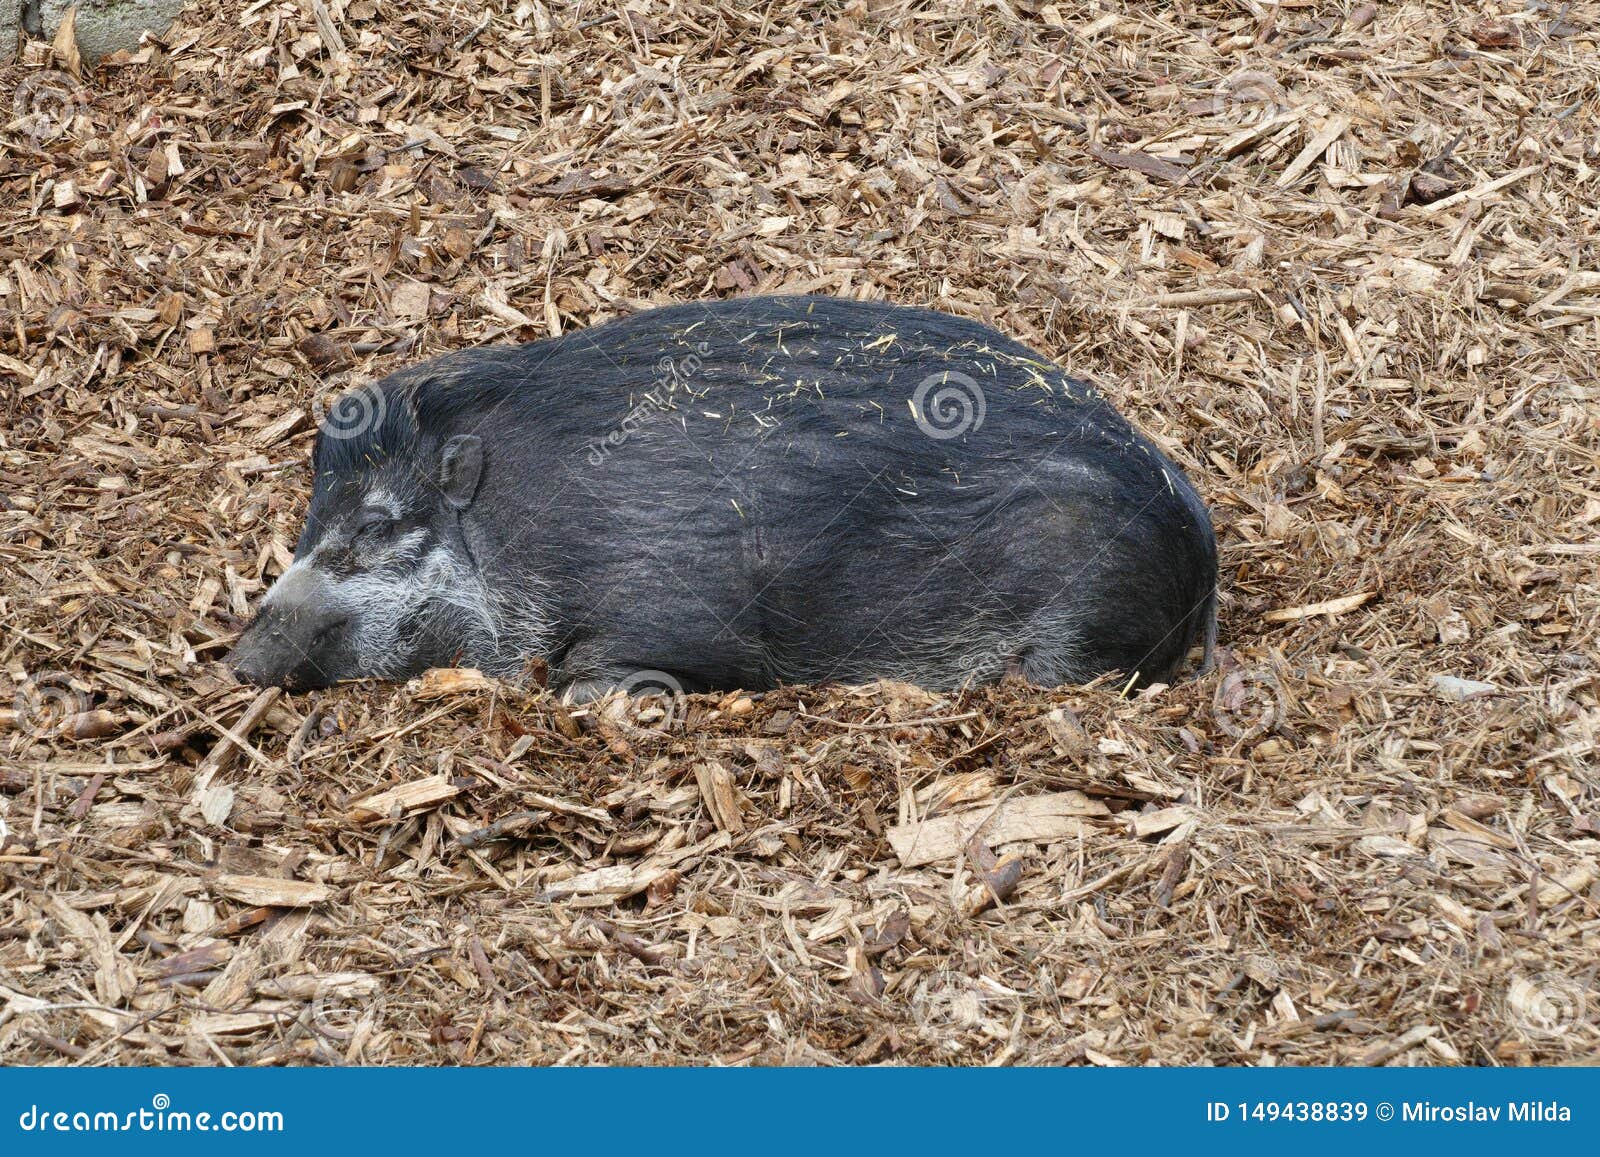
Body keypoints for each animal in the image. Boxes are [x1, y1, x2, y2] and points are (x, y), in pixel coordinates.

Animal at [227, 295, 1217, 698]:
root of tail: (1201, 552)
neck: (520, 528)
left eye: (376, 524)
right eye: (306, 523)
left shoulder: (672, 616)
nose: (235, 661)